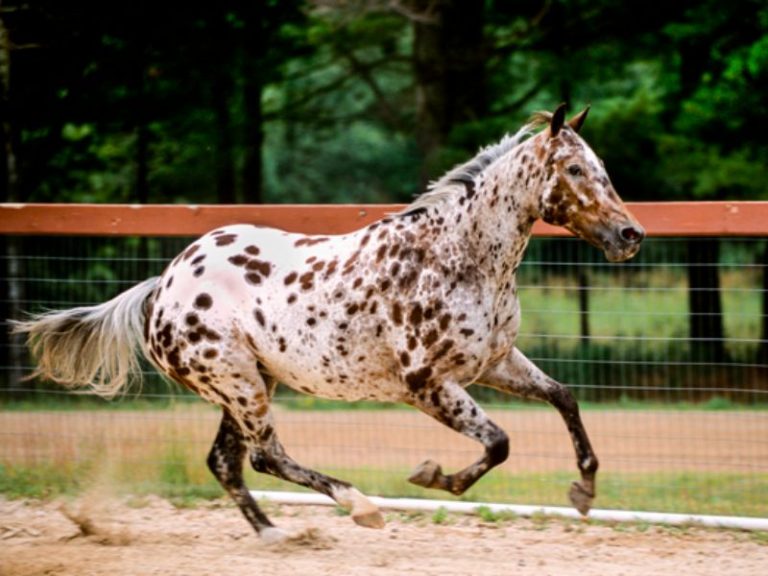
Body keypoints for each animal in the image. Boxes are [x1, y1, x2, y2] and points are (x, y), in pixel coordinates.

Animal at [13, 104, 644, 542]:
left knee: (226, 462)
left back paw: (277, 535)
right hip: (239, 384)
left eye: (602, 168)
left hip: (248, 383)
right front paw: (431, 476)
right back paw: (360, 507)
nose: (631, 234)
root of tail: (164, 285)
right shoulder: (427, 385)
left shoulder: (493, 363)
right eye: (573, 168)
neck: (456, 256)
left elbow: (563, 398)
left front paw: (583, 491)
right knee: (265, 456)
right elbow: (500, 442)